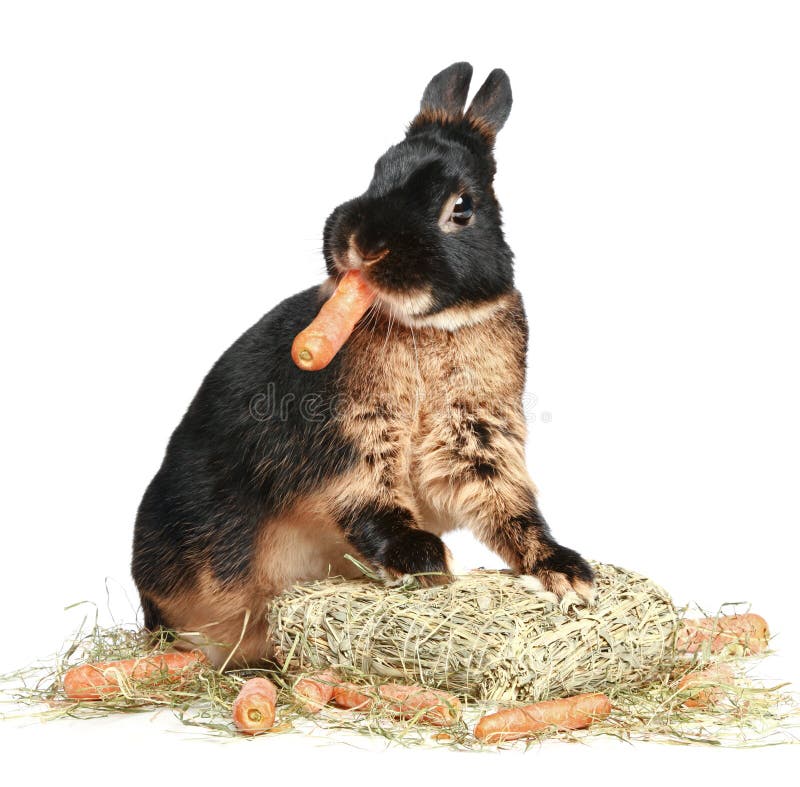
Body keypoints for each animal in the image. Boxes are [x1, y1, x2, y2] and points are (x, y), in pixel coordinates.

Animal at [132, 62, 596, 669]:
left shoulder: (476, 436)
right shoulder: (350, 440)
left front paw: (566, 573)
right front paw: (427, 559)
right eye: (378, 171)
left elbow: (506, 506)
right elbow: (366, 499)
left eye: (462, 207)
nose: (363, 242)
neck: (423, 326)